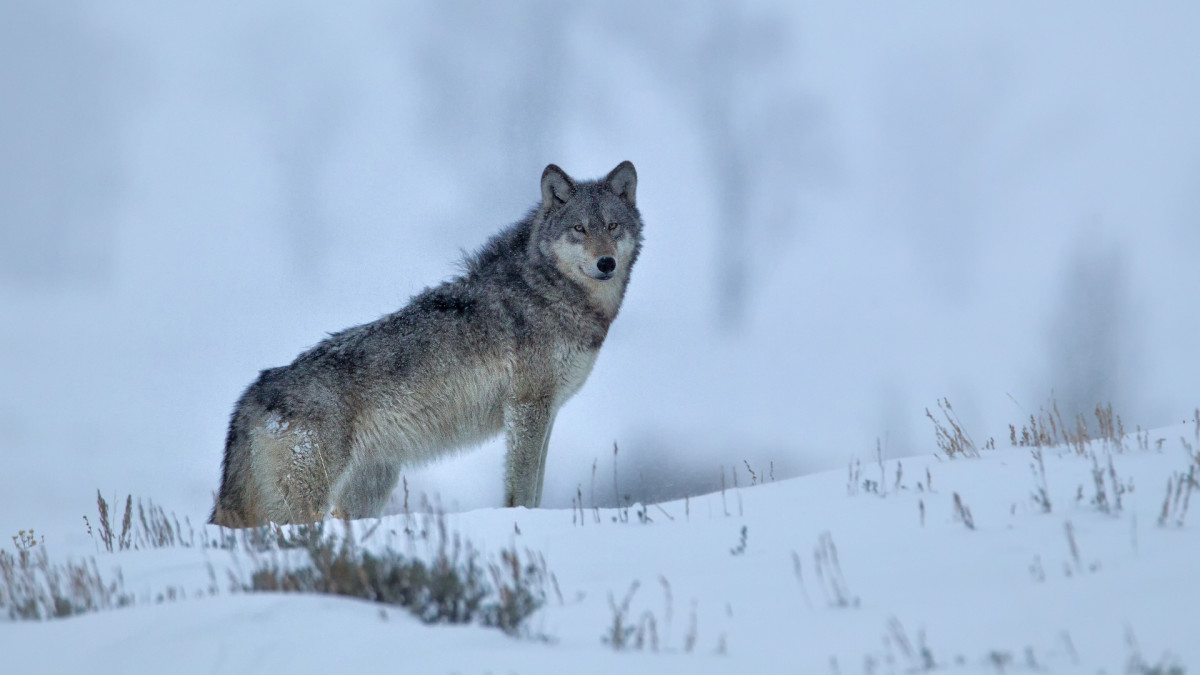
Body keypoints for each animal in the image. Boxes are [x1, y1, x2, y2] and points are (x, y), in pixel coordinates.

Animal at [210, 162, 642, 527]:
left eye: (613, 226)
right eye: (579, 229)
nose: (606, 263)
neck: (550, 292)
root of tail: (253, 392)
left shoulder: (547, 412)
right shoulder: (527, 408)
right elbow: (523, 490)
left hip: (368, 487)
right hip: (300, 504)